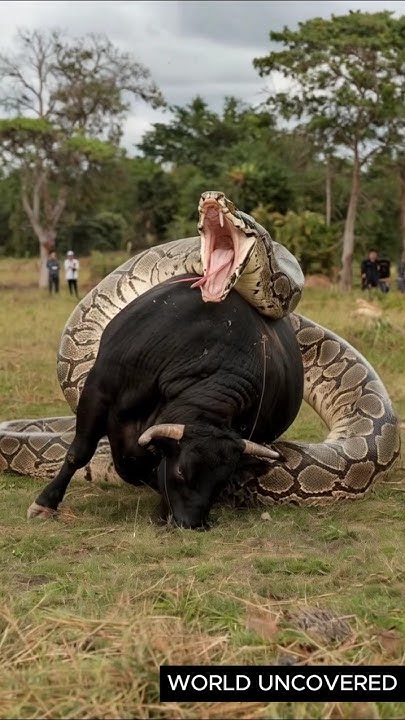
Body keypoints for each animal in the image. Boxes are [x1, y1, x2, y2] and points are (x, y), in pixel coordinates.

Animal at [28, 275, 304, 529]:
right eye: (181, 470)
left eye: (222, 481)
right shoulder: (98, 392)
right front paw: (46, 502)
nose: (192, 524)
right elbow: (79, 452)